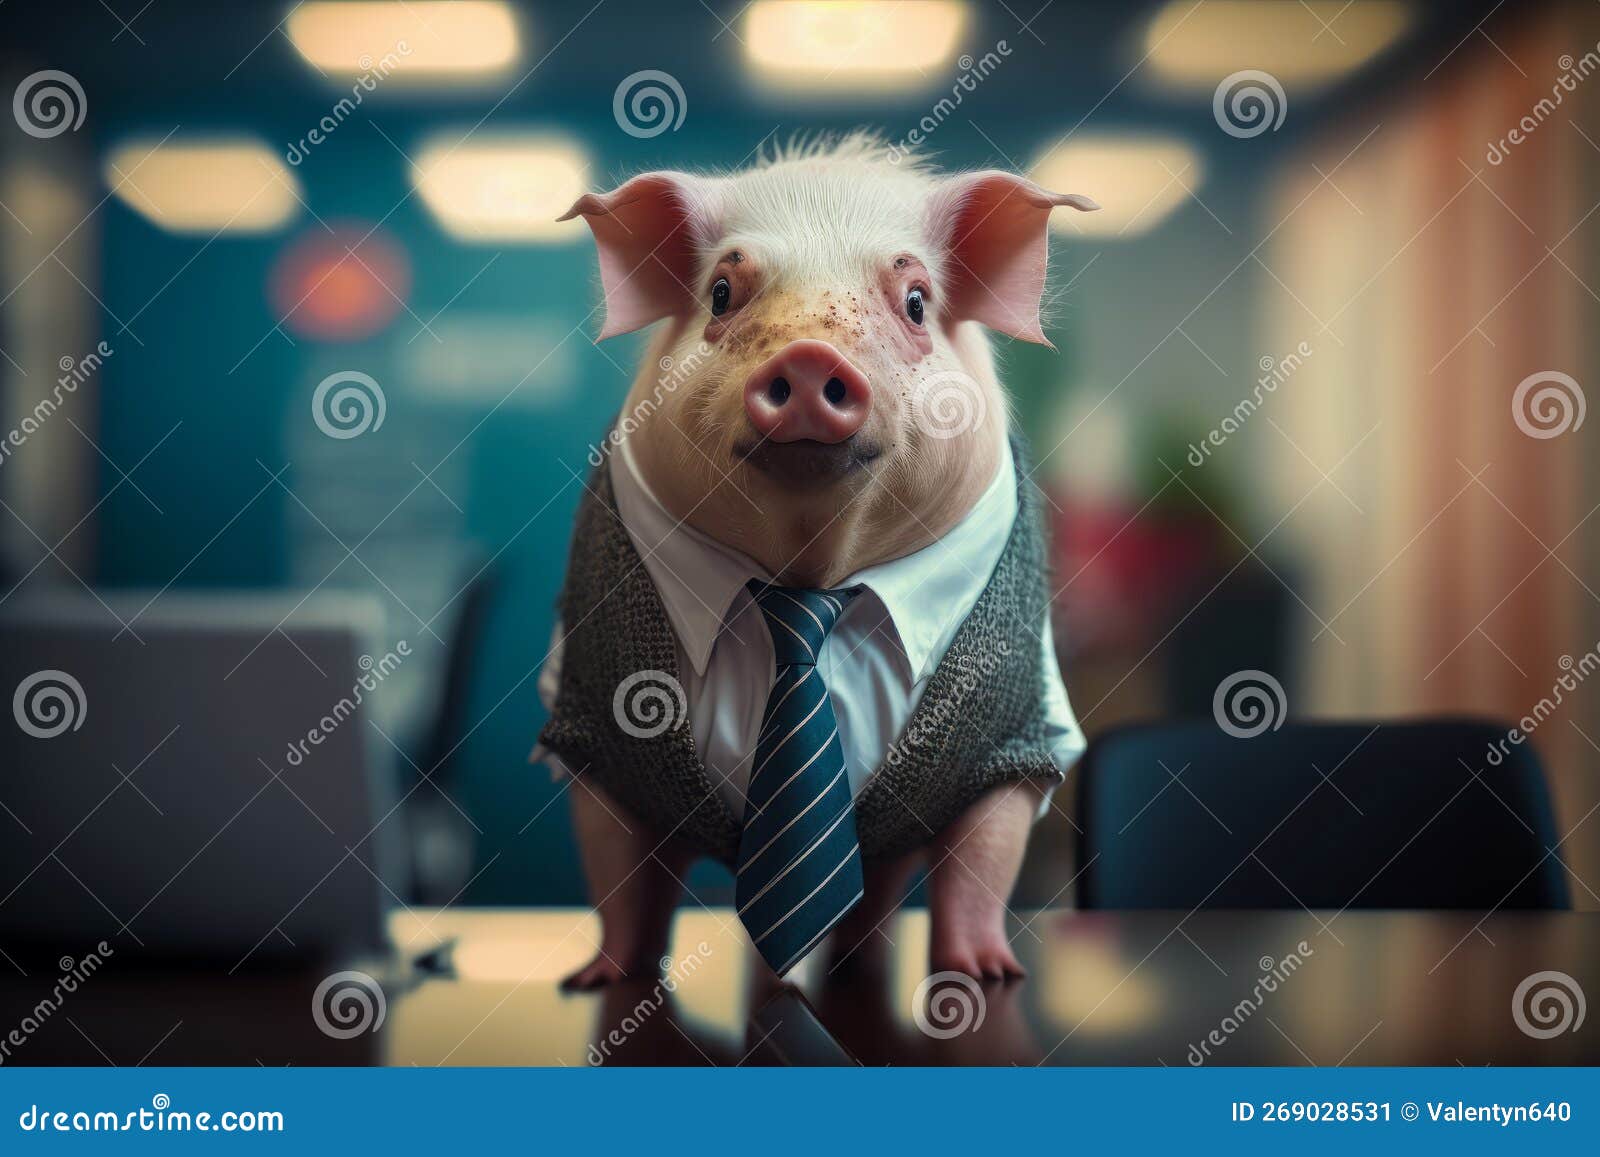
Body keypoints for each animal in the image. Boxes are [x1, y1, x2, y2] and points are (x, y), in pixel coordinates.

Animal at [537, 133, 1094, 987]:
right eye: (722, 292)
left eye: (917, 302)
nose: (805, 356)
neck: (810, 576)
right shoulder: (591, 723)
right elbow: (615, 867)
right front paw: (599, 979)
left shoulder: (1017, 732)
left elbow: (982, 860)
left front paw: (987, 977)